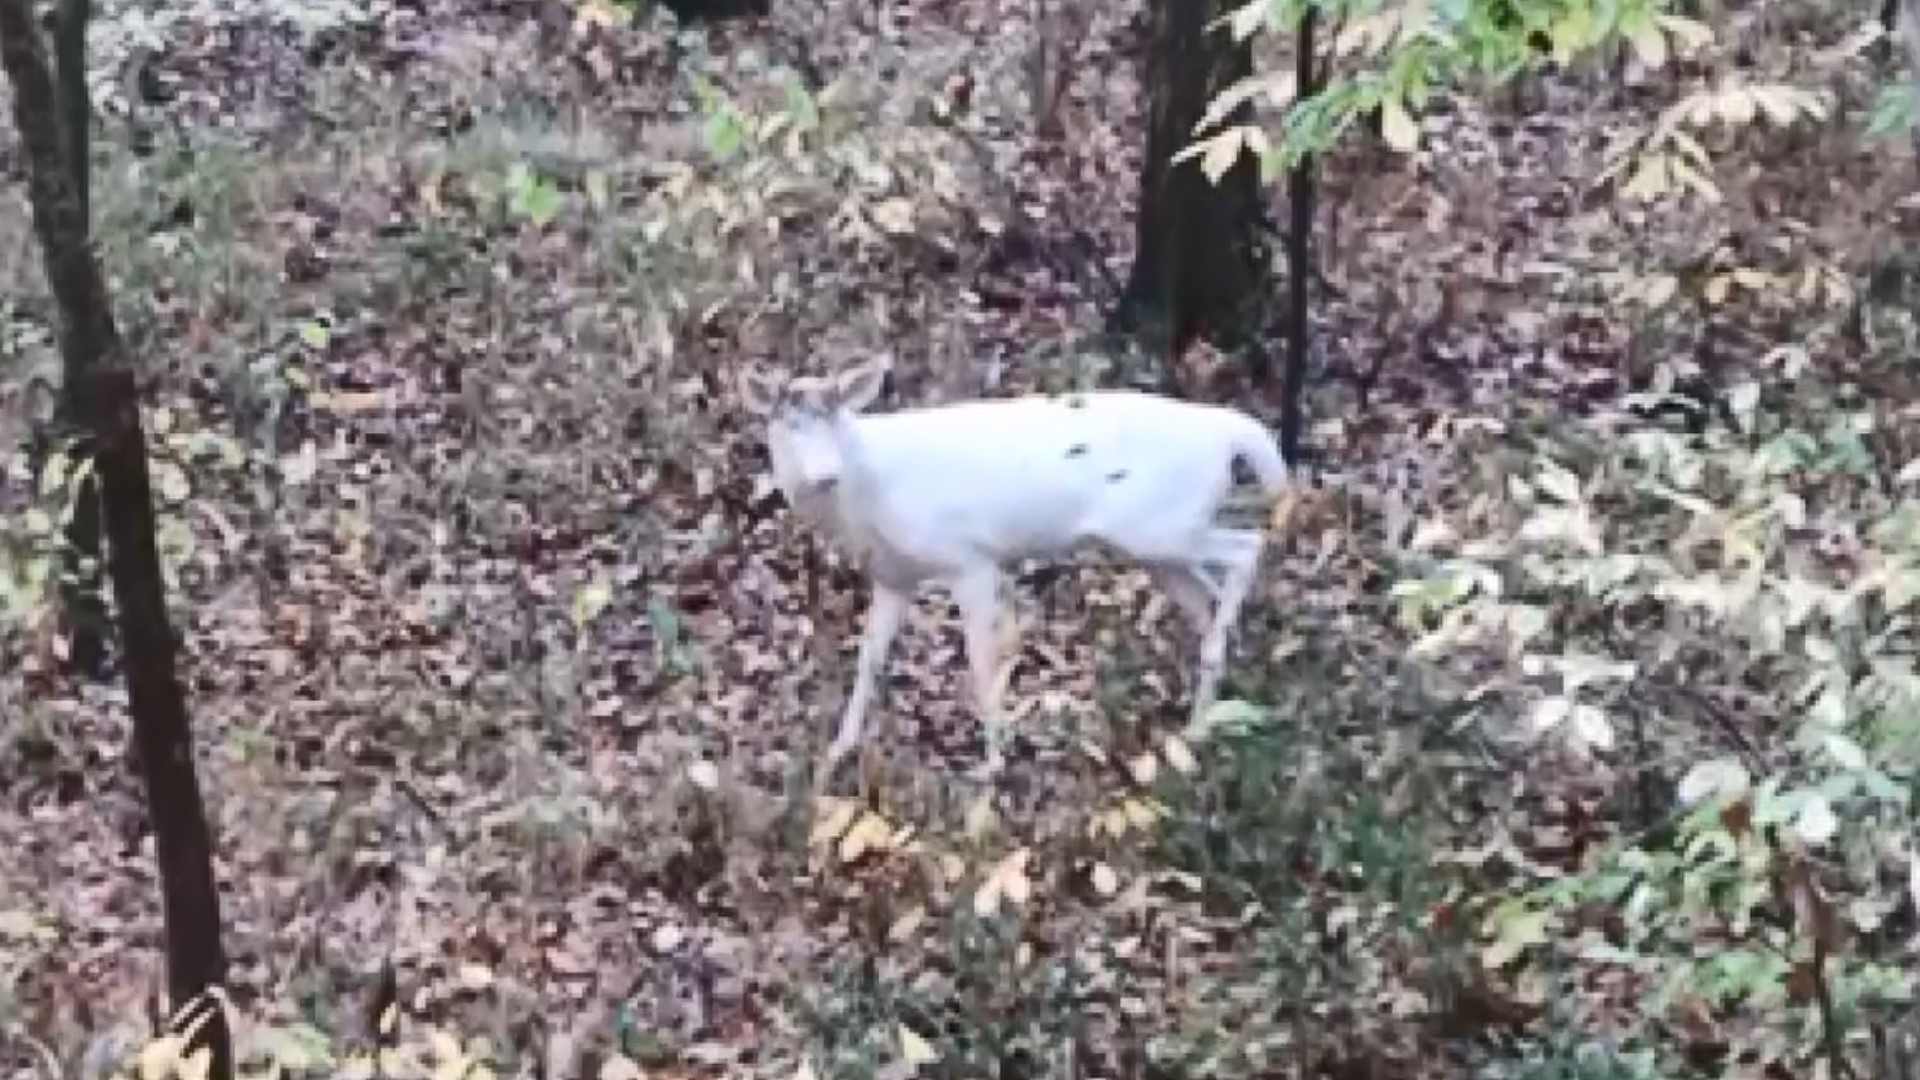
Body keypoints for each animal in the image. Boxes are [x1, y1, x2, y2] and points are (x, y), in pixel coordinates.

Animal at [739, 355, 1291, 778]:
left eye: (835, 419)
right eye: (789, 423)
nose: (826, 474)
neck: (870, 498)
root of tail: (1229, 431)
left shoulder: (971, 559)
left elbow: (983, 663)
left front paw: (991, 764)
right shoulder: (893, 576)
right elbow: (869, 658)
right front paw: (839, 748)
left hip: (1162, 526)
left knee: (1247, 545)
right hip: (1158, 547)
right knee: (1206, 596)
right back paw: (1206, 711)